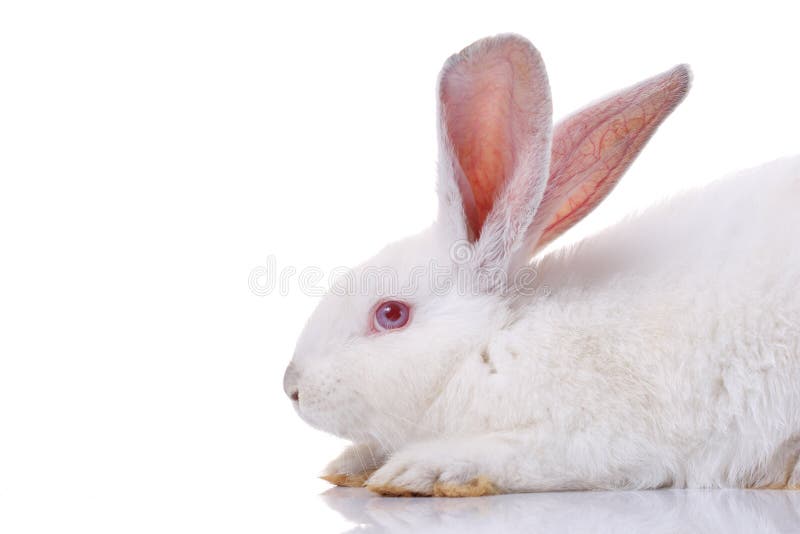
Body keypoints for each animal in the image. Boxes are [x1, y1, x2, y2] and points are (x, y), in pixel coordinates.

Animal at [282, 33, 800, 497]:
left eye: (391, 314)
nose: (292, 387)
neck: (491, 343)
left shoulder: (596, 438)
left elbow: (522, 456)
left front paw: (421, 471)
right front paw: (348, 465)